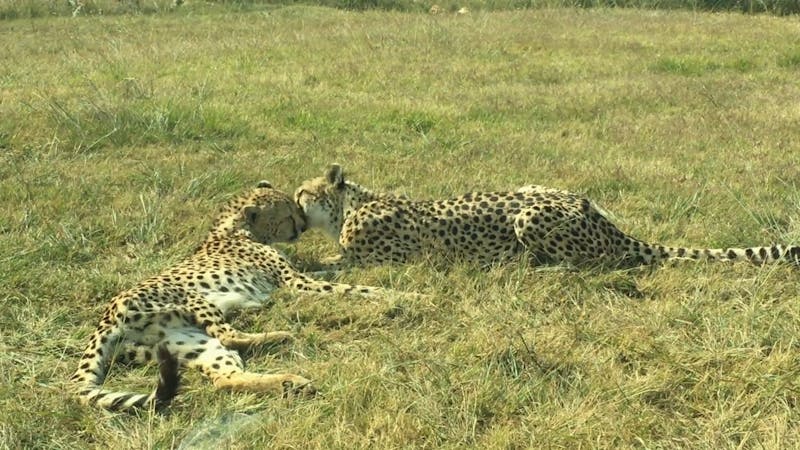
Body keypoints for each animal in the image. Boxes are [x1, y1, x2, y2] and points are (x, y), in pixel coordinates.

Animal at [71, 180, 399, 412]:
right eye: (288, 216)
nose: (304, 225)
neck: (233, 229)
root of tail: (104, 320)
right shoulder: (295, 282)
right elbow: (348, 287)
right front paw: (399, 295)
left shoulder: (296, 276)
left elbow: (334, 272)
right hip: (191, 298)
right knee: (229, 335)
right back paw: (280, 336)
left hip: (187, 344)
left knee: (225, 378)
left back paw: (290, 382)